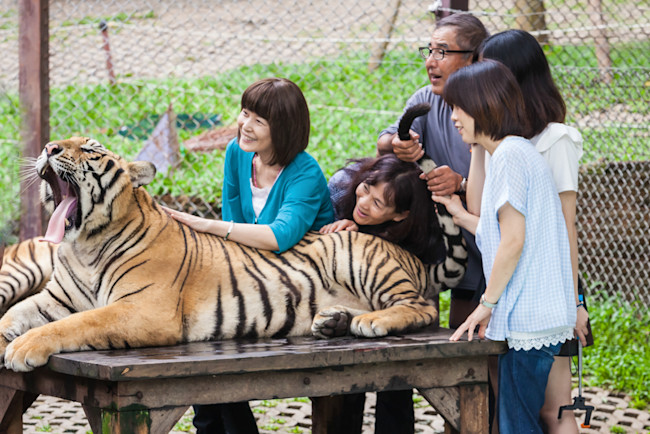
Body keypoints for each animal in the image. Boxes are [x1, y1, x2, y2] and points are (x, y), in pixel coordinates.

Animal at [0, 137, 466, 372]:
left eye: (90, 150)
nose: (49, 148)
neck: (84, 244)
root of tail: (412, 257)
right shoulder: (53, 299)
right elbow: (14, 314)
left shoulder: (142, 309)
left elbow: (77, 324)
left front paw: (23, 349)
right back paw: (333, 321)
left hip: (363, 261)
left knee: (423, 308)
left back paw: (371, 322)